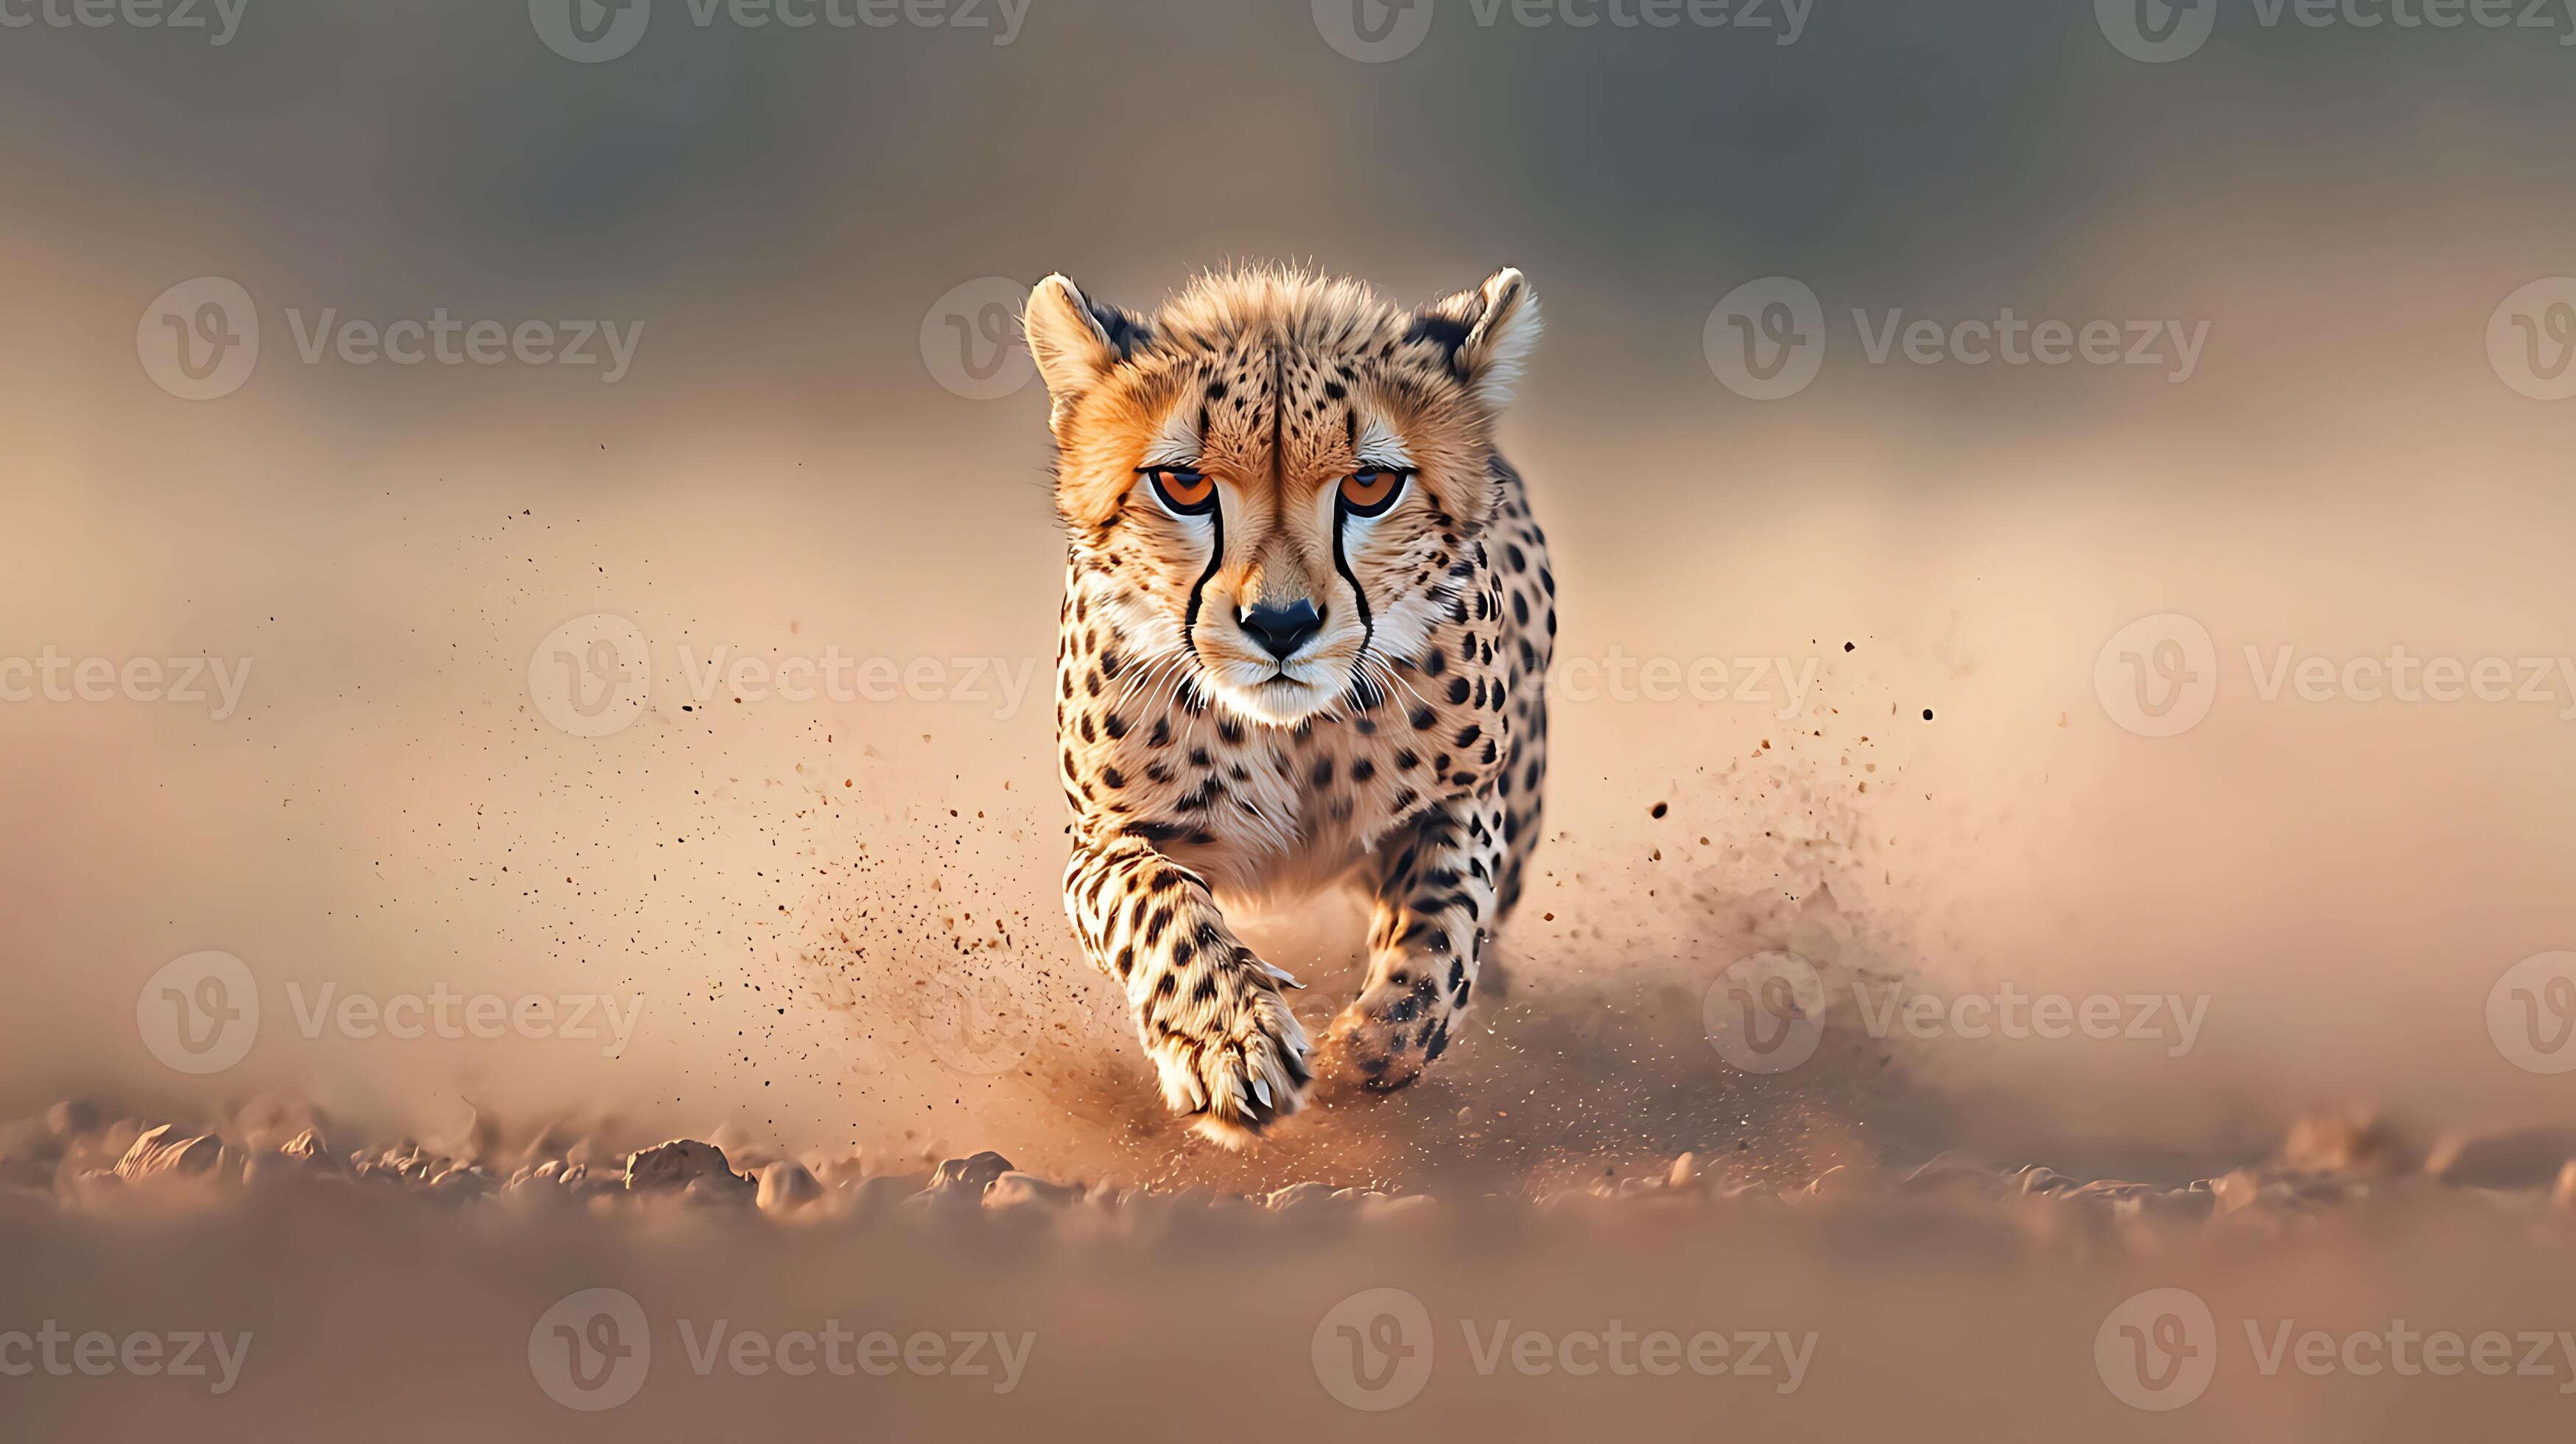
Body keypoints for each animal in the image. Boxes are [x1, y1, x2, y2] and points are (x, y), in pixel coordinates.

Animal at [1026, 265, 1556, 1148]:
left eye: (1370, 486)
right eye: (1183, 484)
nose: (1280, 625)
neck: (1293, 734)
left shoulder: (1465, 801)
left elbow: (1446, 917)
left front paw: (1378, 1038)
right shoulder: (1108, 840)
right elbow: (1160, 908)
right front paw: (1228, 1047)